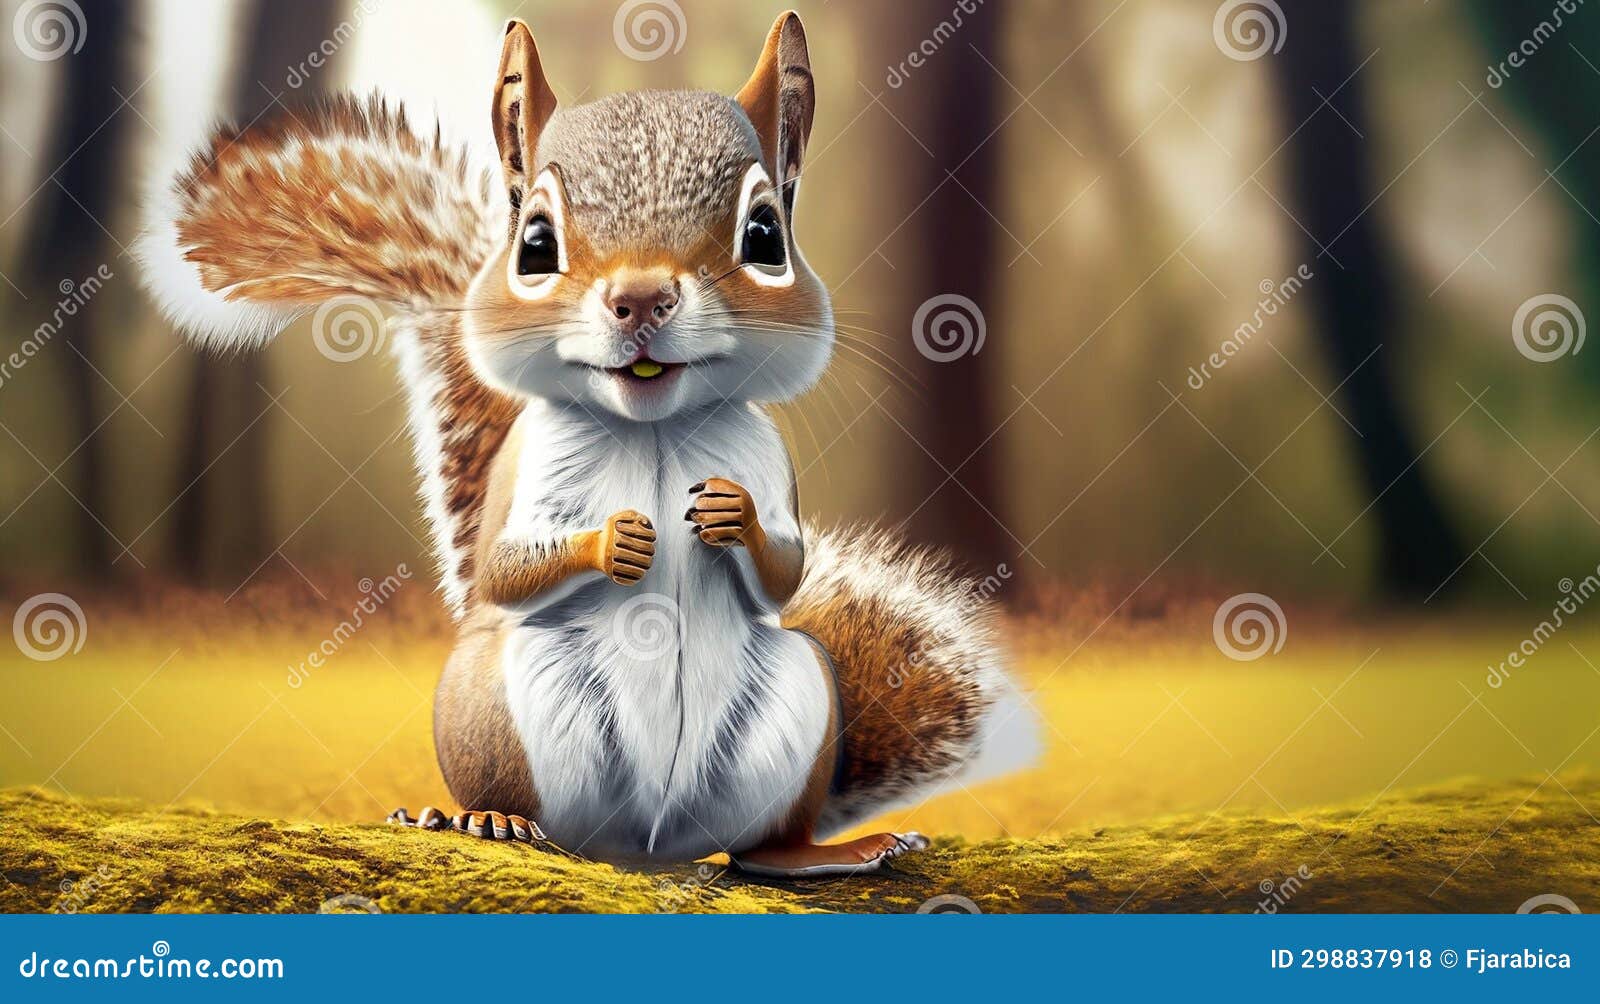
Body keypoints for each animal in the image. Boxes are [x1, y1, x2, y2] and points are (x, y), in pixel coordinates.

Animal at [135, 12, 1038, 877]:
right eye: (534, 243)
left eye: (765, 236)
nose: (640, 297)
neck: (656, 424)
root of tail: (652, 844)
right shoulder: (524, 468)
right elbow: (503, 567)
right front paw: (613, 541)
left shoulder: (772, 462)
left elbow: (786, 566)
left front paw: (734, 517)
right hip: (499, 702)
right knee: (534, 801)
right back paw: (486, 819)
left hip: (802, 695)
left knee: (755, 845)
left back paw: (820, 852)